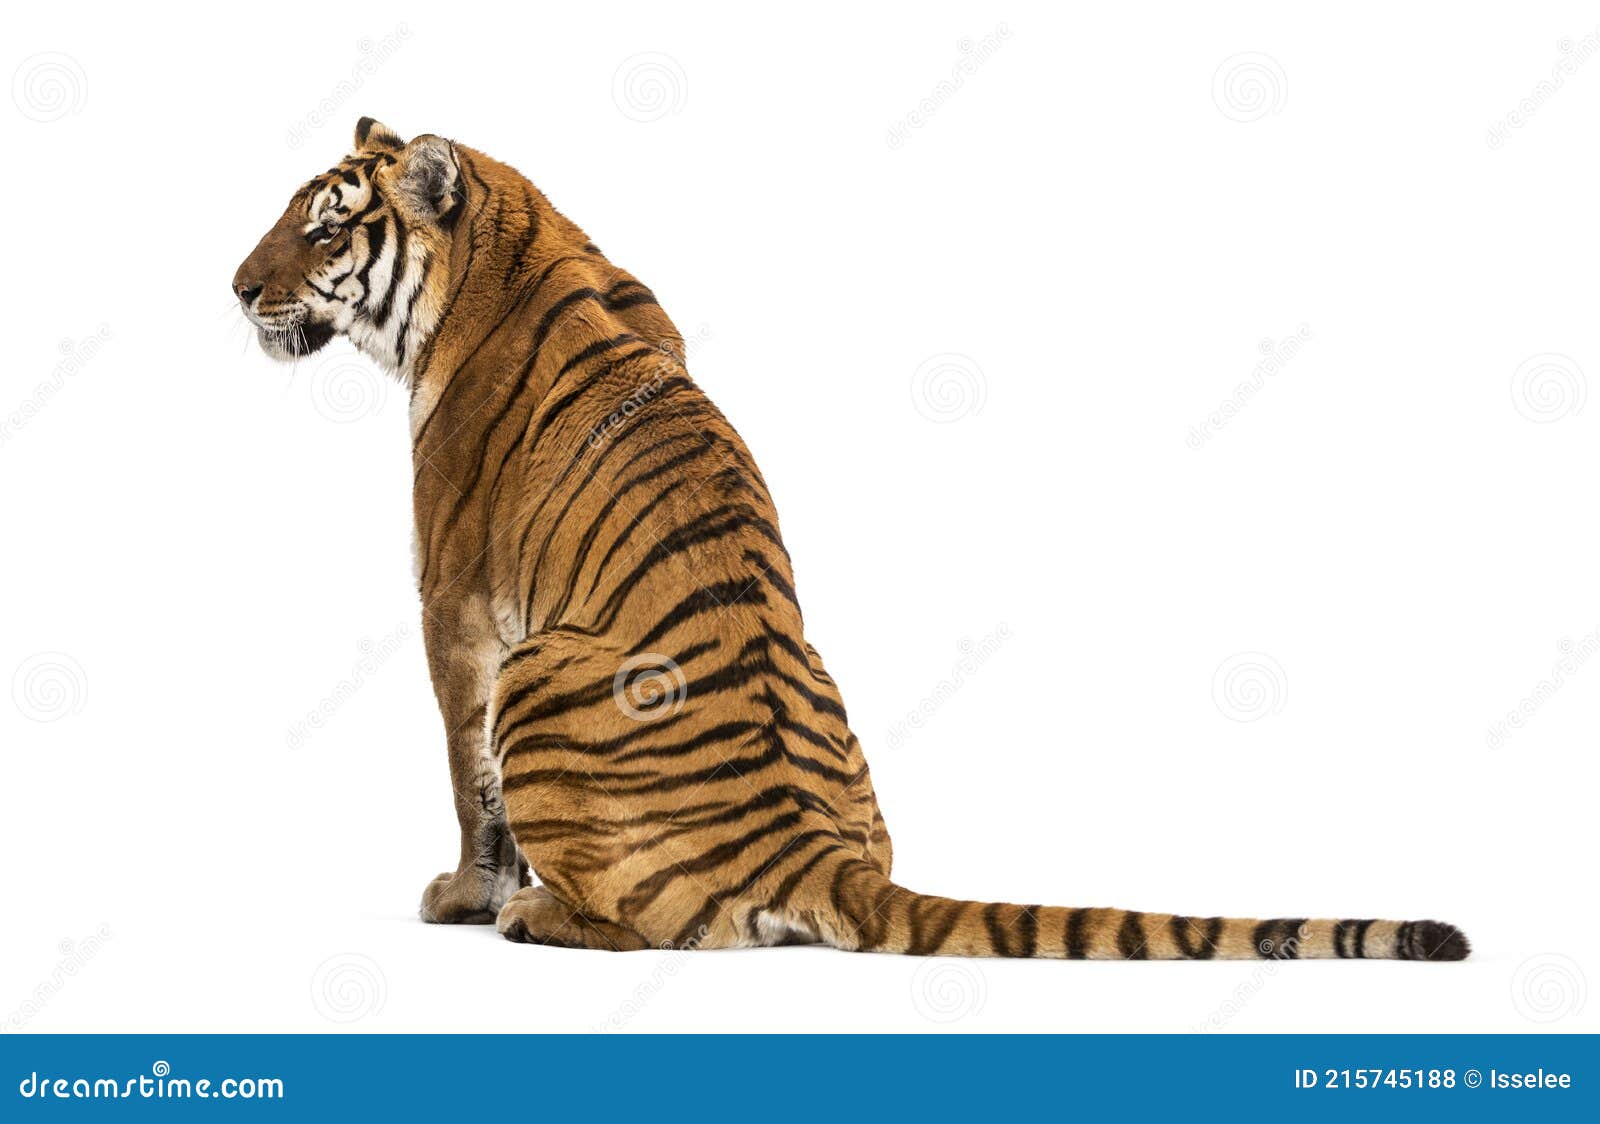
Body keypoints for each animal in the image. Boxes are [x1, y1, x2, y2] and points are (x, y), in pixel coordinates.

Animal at [232, 118, 1469, 962]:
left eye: (324, 225)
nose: (239, 288)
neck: (511, 235)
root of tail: (808, 842)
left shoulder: (456, 603)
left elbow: (466, 775)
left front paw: (464, 896)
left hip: (543, 662)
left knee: (648, 924)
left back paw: (533, 912)